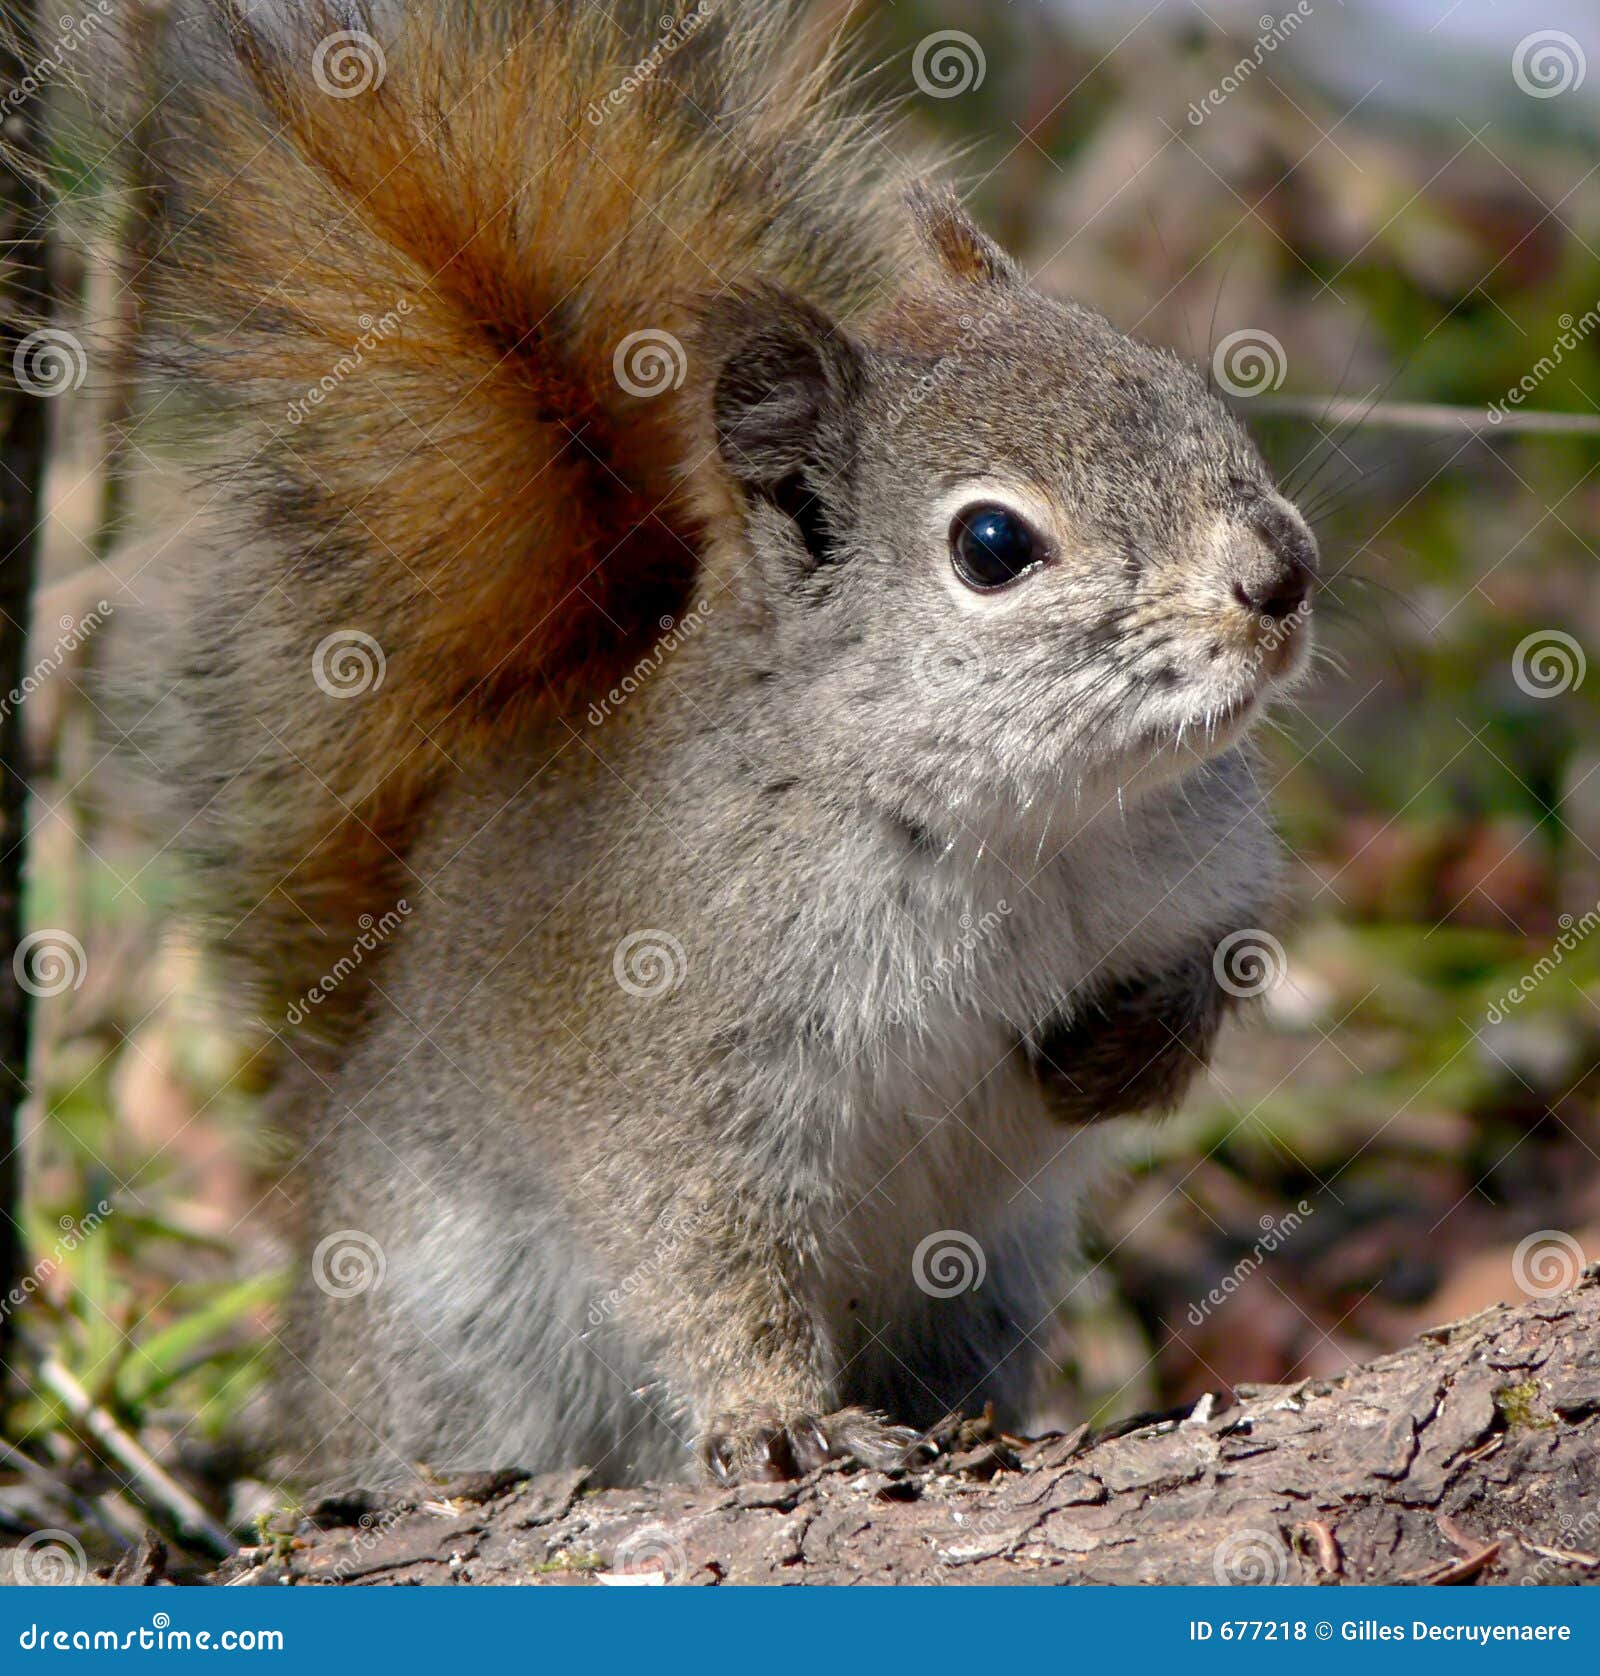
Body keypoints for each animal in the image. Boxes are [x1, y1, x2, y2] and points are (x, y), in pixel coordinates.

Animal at [117, 0, 1317, 1488]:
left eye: (1186, 392)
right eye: (992, 545)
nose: (1281, 576)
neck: (1028, 825)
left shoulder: (1201, 877)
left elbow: (1219, 972)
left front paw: (1122, 1054)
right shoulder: (679, 1048)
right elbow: (706, 1245)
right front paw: (778, 1414)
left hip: (984, 1283)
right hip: (452, 1333)